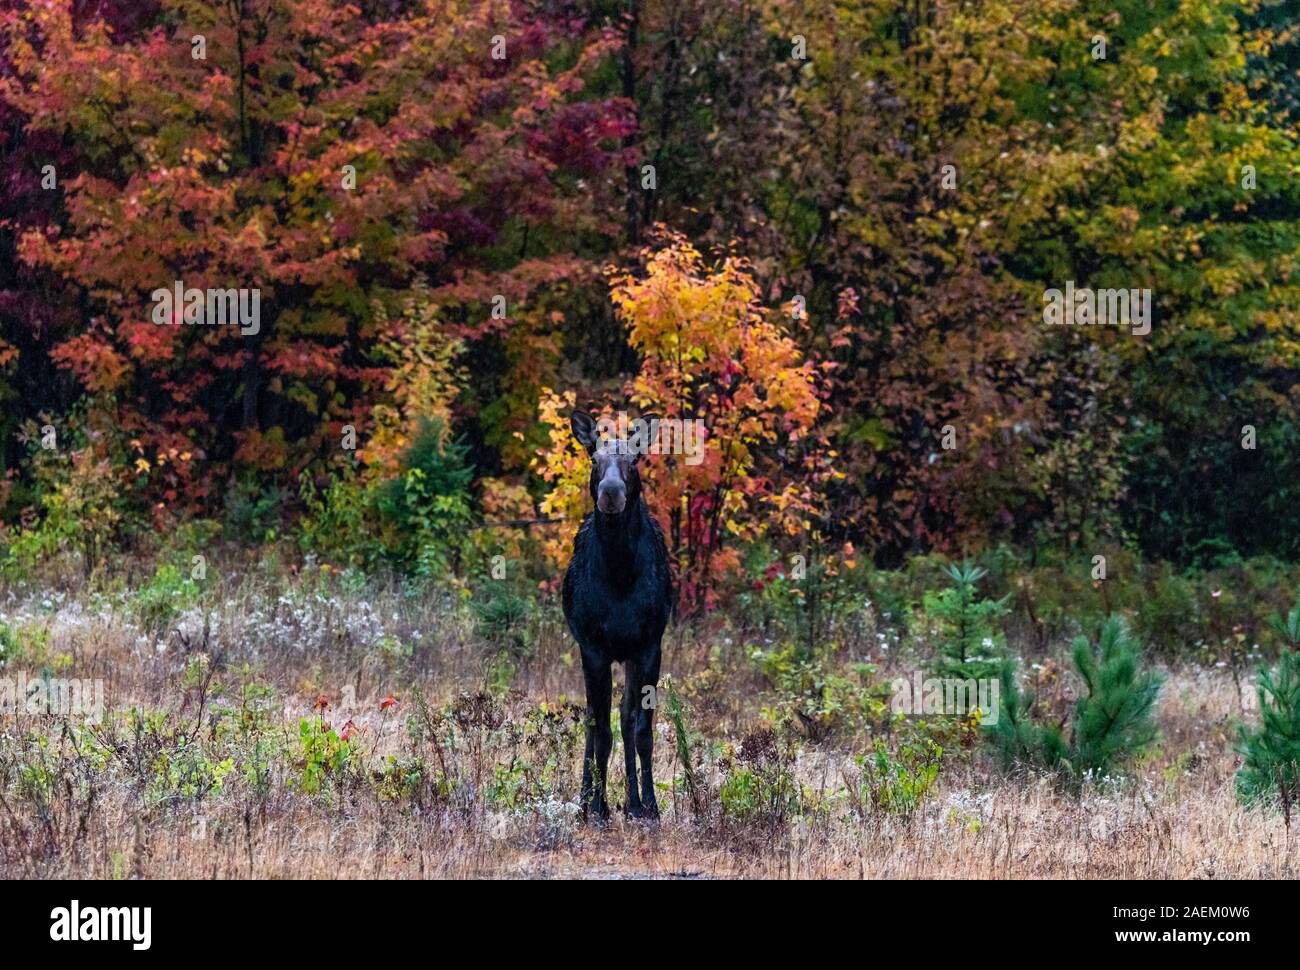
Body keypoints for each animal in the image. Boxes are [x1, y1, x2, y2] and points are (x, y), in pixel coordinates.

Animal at [562, 410, 674, 822]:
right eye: (594, 460)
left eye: (634, 460)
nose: (611, 492)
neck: (621, 573)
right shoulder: (594, 647)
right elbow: (601, 729)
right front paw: (597, 805)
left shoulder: (648, 645)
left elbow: (640, 729)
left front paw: (649, 804)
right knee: (593, 720)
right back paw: (585, 800)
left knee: (624, 718)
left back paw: (632, 801)